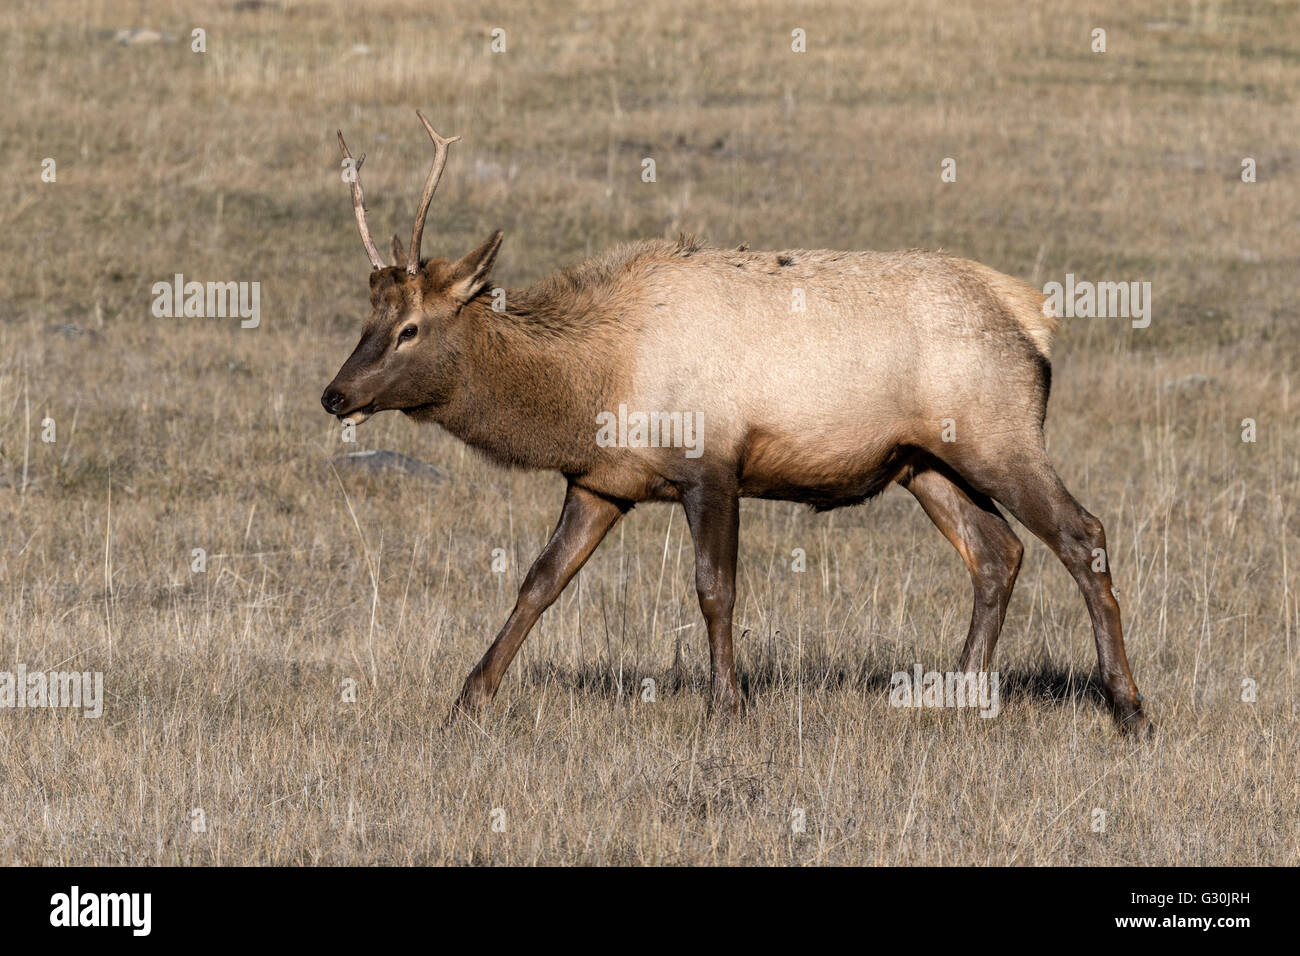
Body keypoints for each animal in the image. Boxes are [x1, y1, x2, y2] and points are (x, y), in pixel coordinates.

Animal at [321, 112, 1151, 736]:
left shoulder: (712, 464)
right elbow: (538, 583)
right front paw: (467, 701)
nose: (334, 394)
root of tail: (1032, 318)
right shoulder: (602, 482)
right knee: (997, 553)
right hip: (926, 463)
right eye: (369, 317)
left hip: (998, 433)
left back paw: (1129, 708)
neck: (595, 386)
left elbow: (714, 589)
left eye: (411, 329)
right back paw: (956, 696)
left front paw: (727, 706)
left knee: (1082, 534)